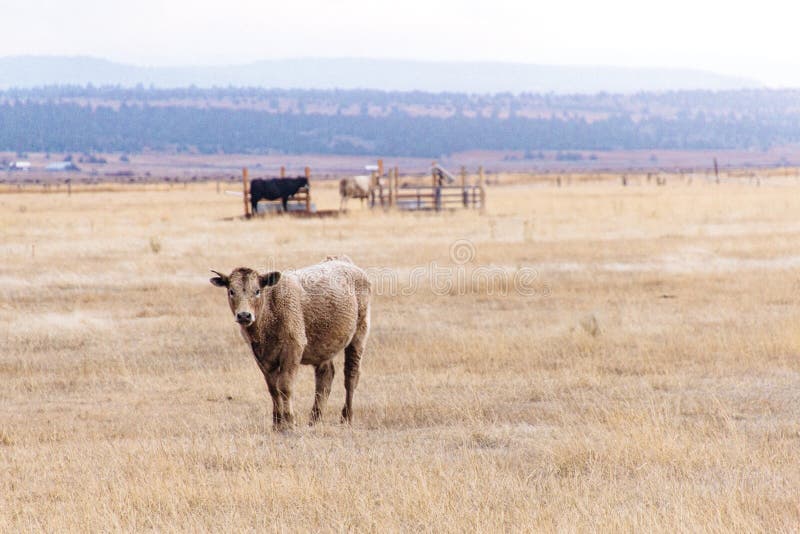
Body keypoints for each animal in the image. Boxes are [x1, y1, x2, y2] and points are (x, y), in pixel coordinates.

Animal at [210, 256, 371, 430]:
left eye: (257, 291)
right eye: (231, 291)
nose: (244, 315)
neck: (271, 307)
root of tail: (346, 262)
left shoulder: (293, 349)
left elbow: (285, 386)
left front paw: (289, 422)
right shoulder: (261, 357)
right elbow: (273, 389)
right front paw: (277, 423)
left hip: (358, 336)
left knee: (351, 376)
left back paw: (346, 417)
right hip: (324, 349)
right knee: (325, 377)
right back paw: (314, 420)